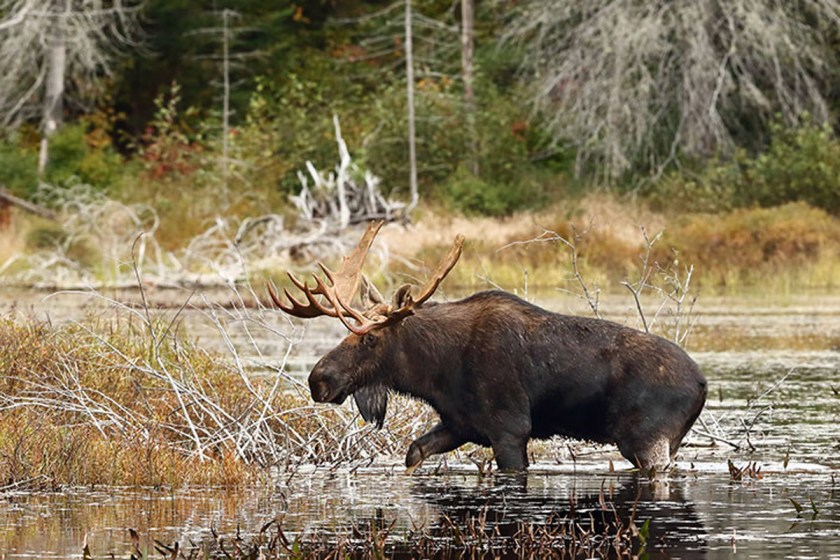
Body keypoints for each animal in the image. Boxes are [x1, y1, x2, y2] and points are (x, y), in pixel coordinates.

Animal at [269, 221, 707, 473]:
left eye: (371, 338)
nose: (319, 380)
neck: (434, 370)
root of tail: (703, 385)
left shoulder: (509, 428)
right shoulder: (461, 423)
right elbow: (413, 454)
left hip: (648, 440)